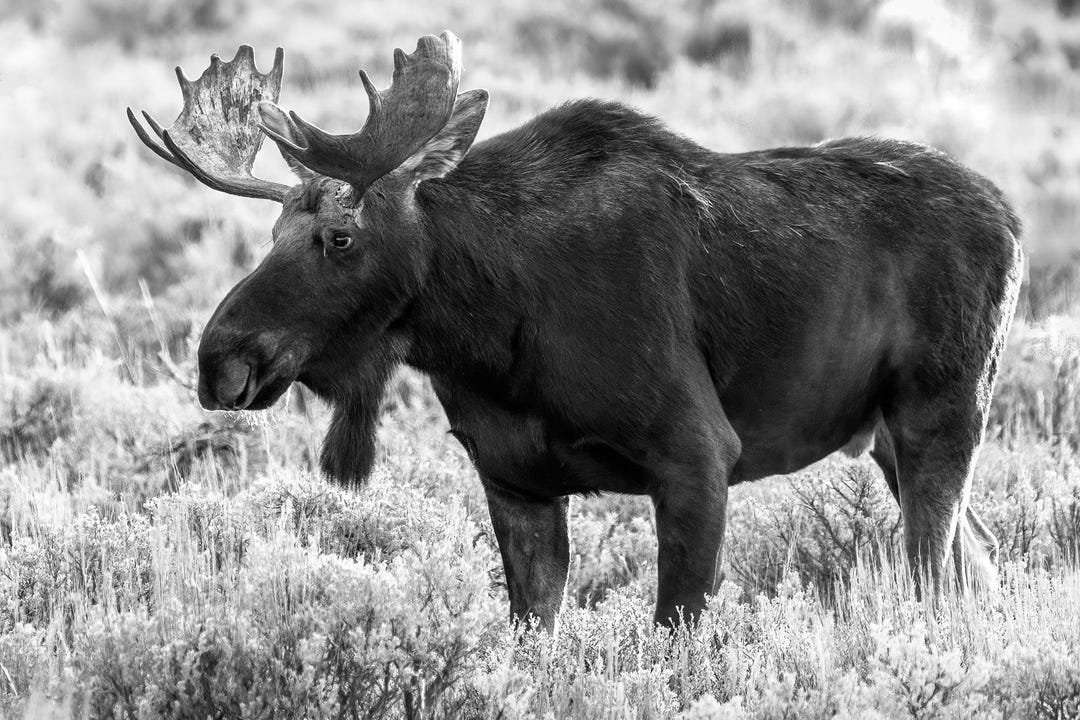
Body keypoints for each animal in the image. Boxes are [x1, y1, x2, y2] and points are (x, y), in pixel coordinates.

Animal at [129, 32, 1023, 629]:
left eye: (338, 237)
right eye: (273, 233)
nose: (219, 361)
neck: (492, 333)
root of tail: (1014, 220)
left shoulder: (698, 459)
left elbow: (675, 634)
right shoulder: (515, 483)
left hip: (940, 416)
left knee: (935, 575)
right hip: (889, 439)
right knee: (978, 561)